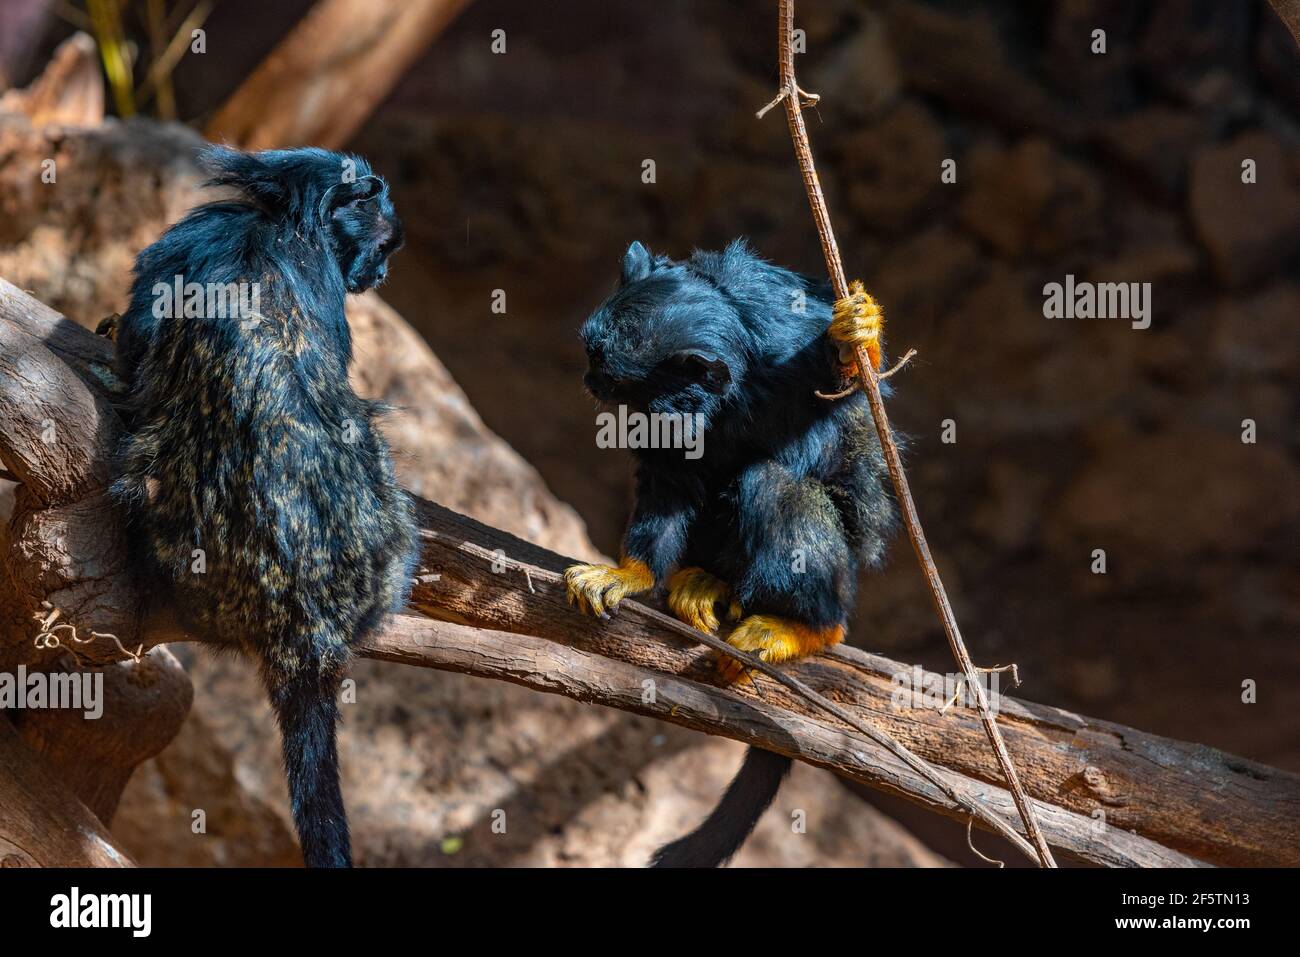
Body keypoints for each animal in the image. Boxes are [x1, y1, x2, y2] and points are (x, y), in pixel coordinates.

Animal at [564, 239, 898, 868]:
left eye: (607, 375)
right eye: (594, 364)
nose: (589, 380)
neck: (737, 386)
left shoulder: (790, 335)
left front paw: (854, 342)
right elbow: (670, 476)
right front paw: (632, 573)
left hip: (844, 567)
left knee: (771, 484)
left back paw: (809, 626)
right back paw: (708, 582)